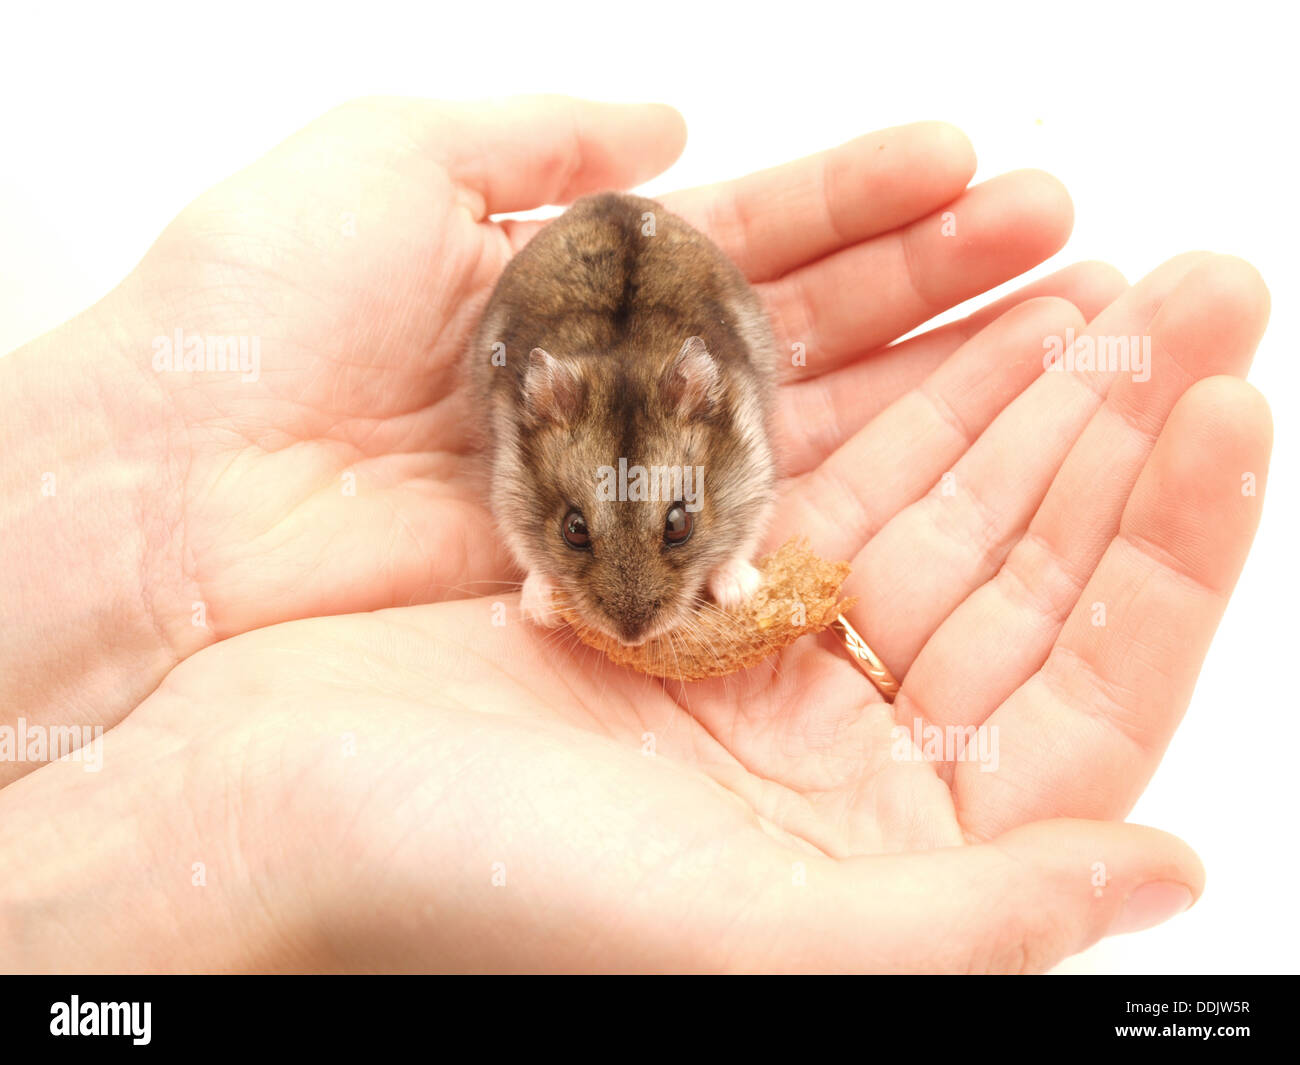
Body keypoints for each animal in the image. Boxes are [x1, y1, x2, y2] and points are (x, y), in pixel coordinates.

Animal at [469, 191, 777, 647]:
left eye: (679, 524)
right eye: (574, 529)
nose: (631, 635)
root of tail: (611, 197)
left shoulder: (754, 474)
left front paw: (740, 592)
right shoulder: (509, 488)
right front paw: (540, 609)